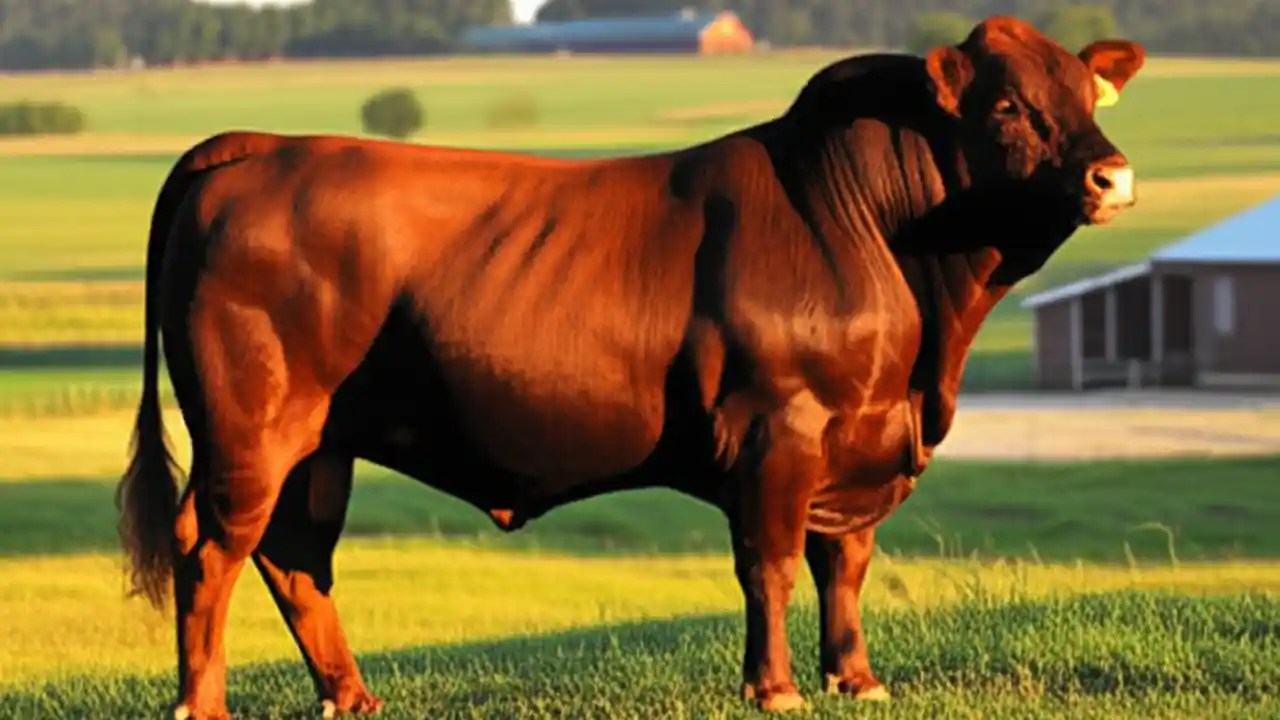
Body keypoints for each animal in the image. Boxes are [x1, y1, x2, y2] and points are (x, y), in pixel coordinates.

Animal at [115, 15, 1145, 719]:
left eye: (1086, 100)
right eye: (1009, 106)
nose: (1115, 176)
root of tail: (258, 149)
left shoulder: (862, 439)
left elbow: (844, 563)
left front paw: (857, 679)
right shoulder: (781, 429)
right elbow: (771, 562)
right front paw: (774, 687)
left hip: (319, 442)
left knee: (294, 555)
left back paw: (352, 695)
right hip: (249, 428)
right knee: (212, 548)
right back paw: (203, 703)